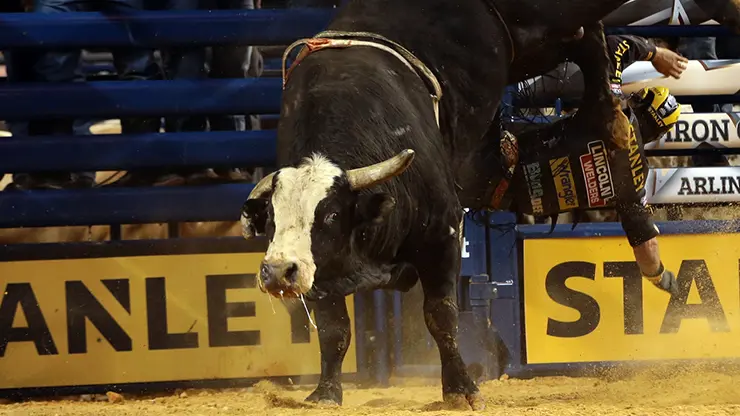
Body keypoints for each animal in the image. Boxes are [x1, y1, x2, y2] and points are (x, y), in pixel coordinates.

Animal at [240, 0, 740, 410]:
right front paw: (325, 392)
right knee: (589, 39)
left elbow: (441, 315)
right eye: (273, 219)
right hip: (531, 46)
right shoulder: (321, 268)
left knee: (593, 38)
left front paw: (461, 390)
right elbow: (333, 328)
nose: (277, 272)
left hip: (543, 21)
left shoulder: (443, 233)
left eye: (329, 214)